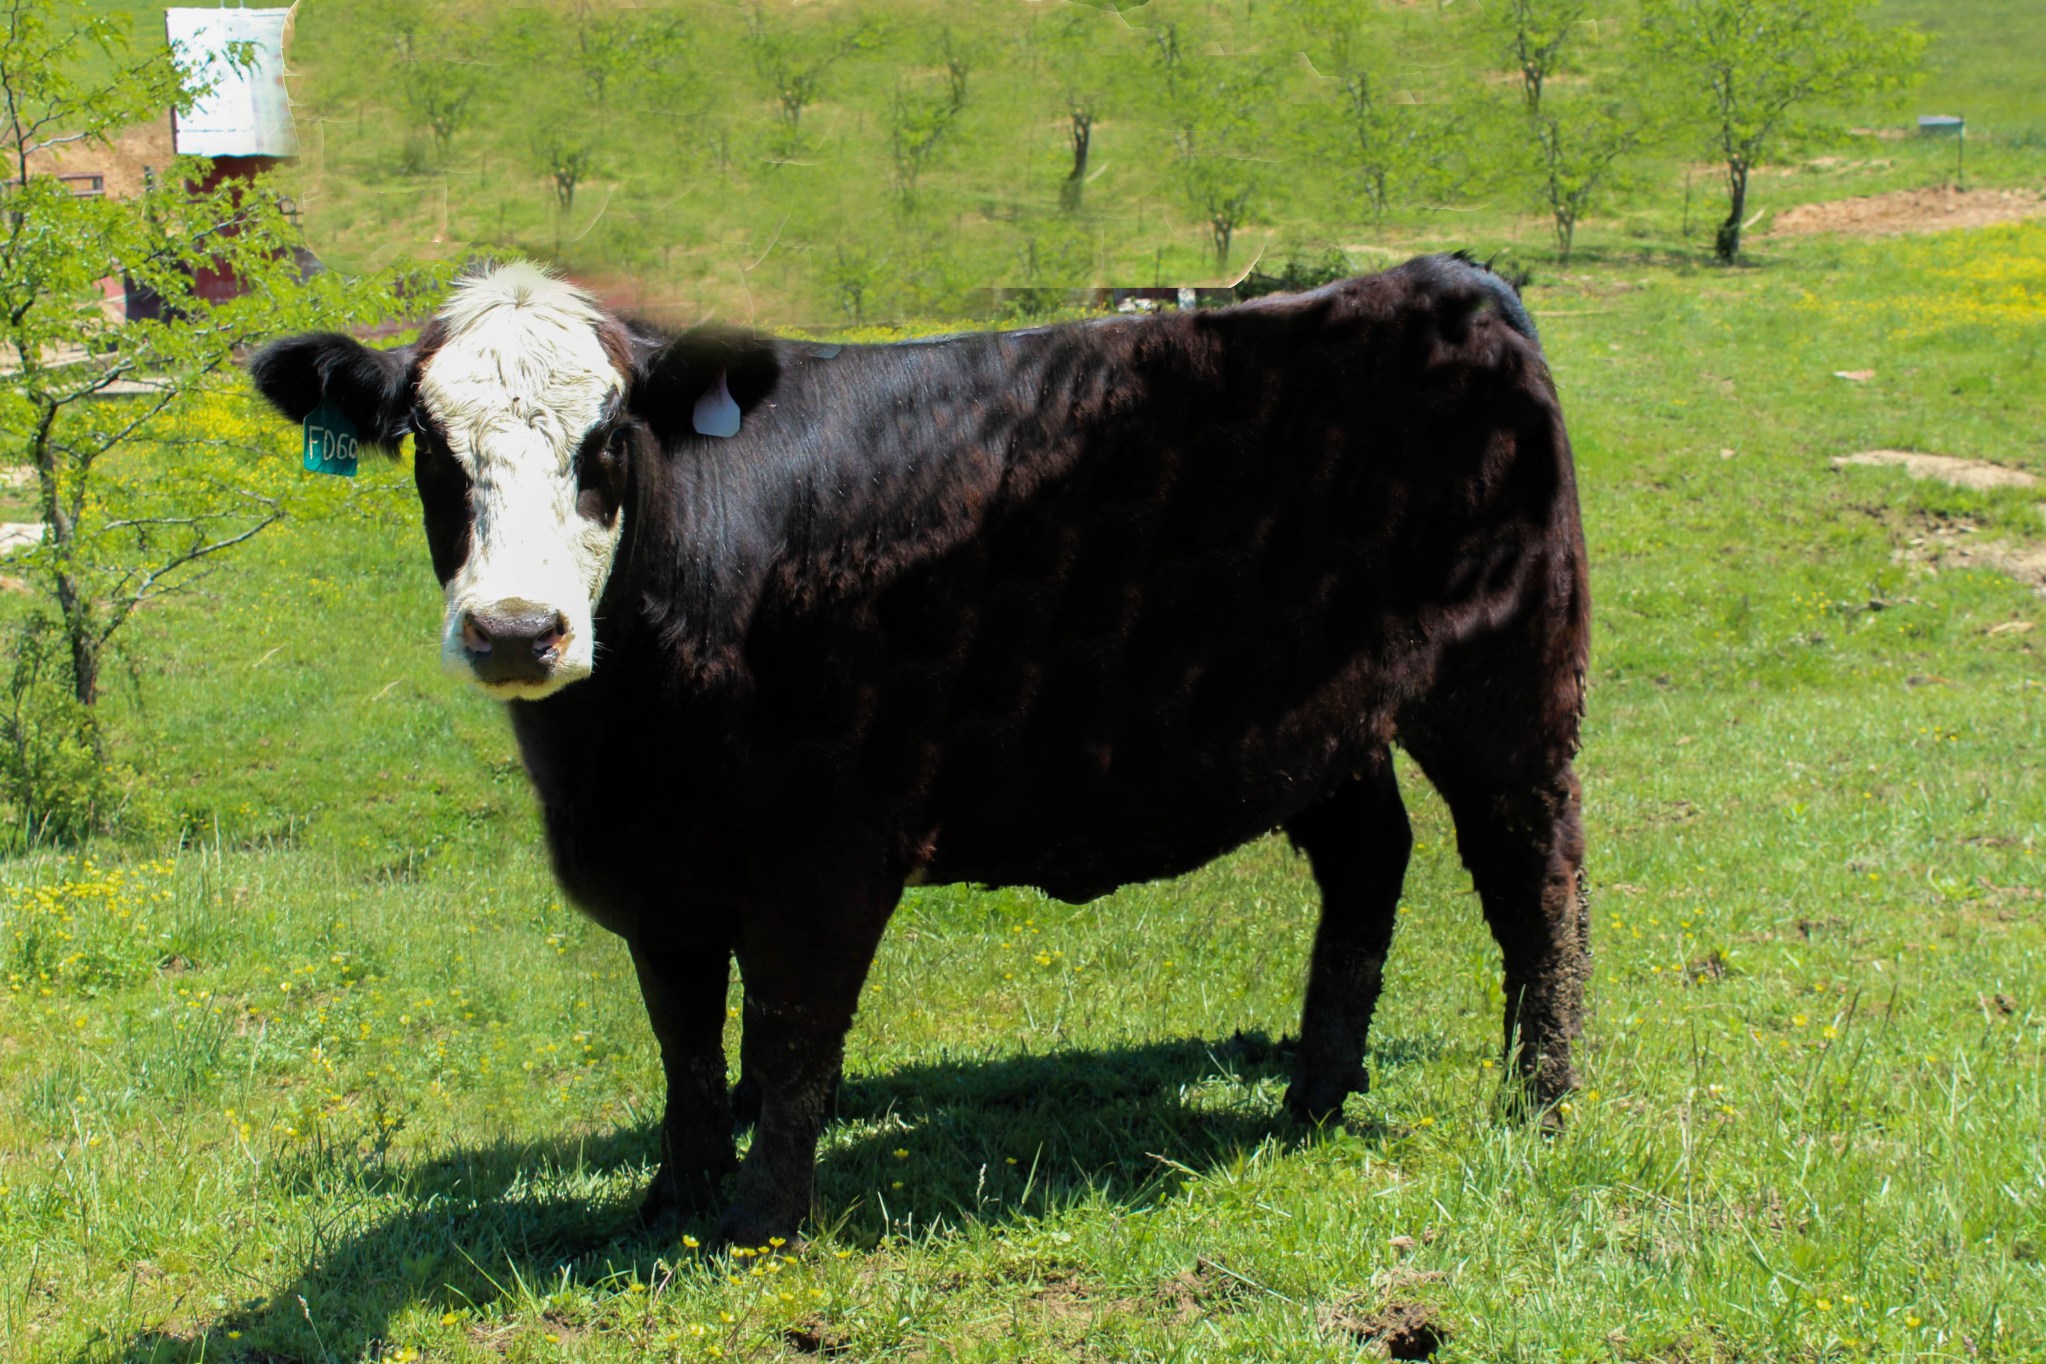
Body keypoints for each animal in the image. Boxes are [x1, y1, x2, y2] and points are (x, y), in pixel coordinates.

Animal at [247, 253, 1591, 1250]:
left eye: (610, 438)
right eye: (428, 445)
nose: (518, 629)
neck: (619, 749)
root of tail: (1448, 280)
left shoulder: (830, 847)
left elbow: (788, 1035)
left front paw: (759, 1223)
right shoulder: (657, 873)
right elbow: (684, 1038)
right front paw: (672, 1201)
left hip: (1509, 680)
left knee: (1536, 879)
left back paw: (1538, 1100)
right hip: (1322, 718)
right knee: (1369, 860)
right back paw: (1311, 1096)